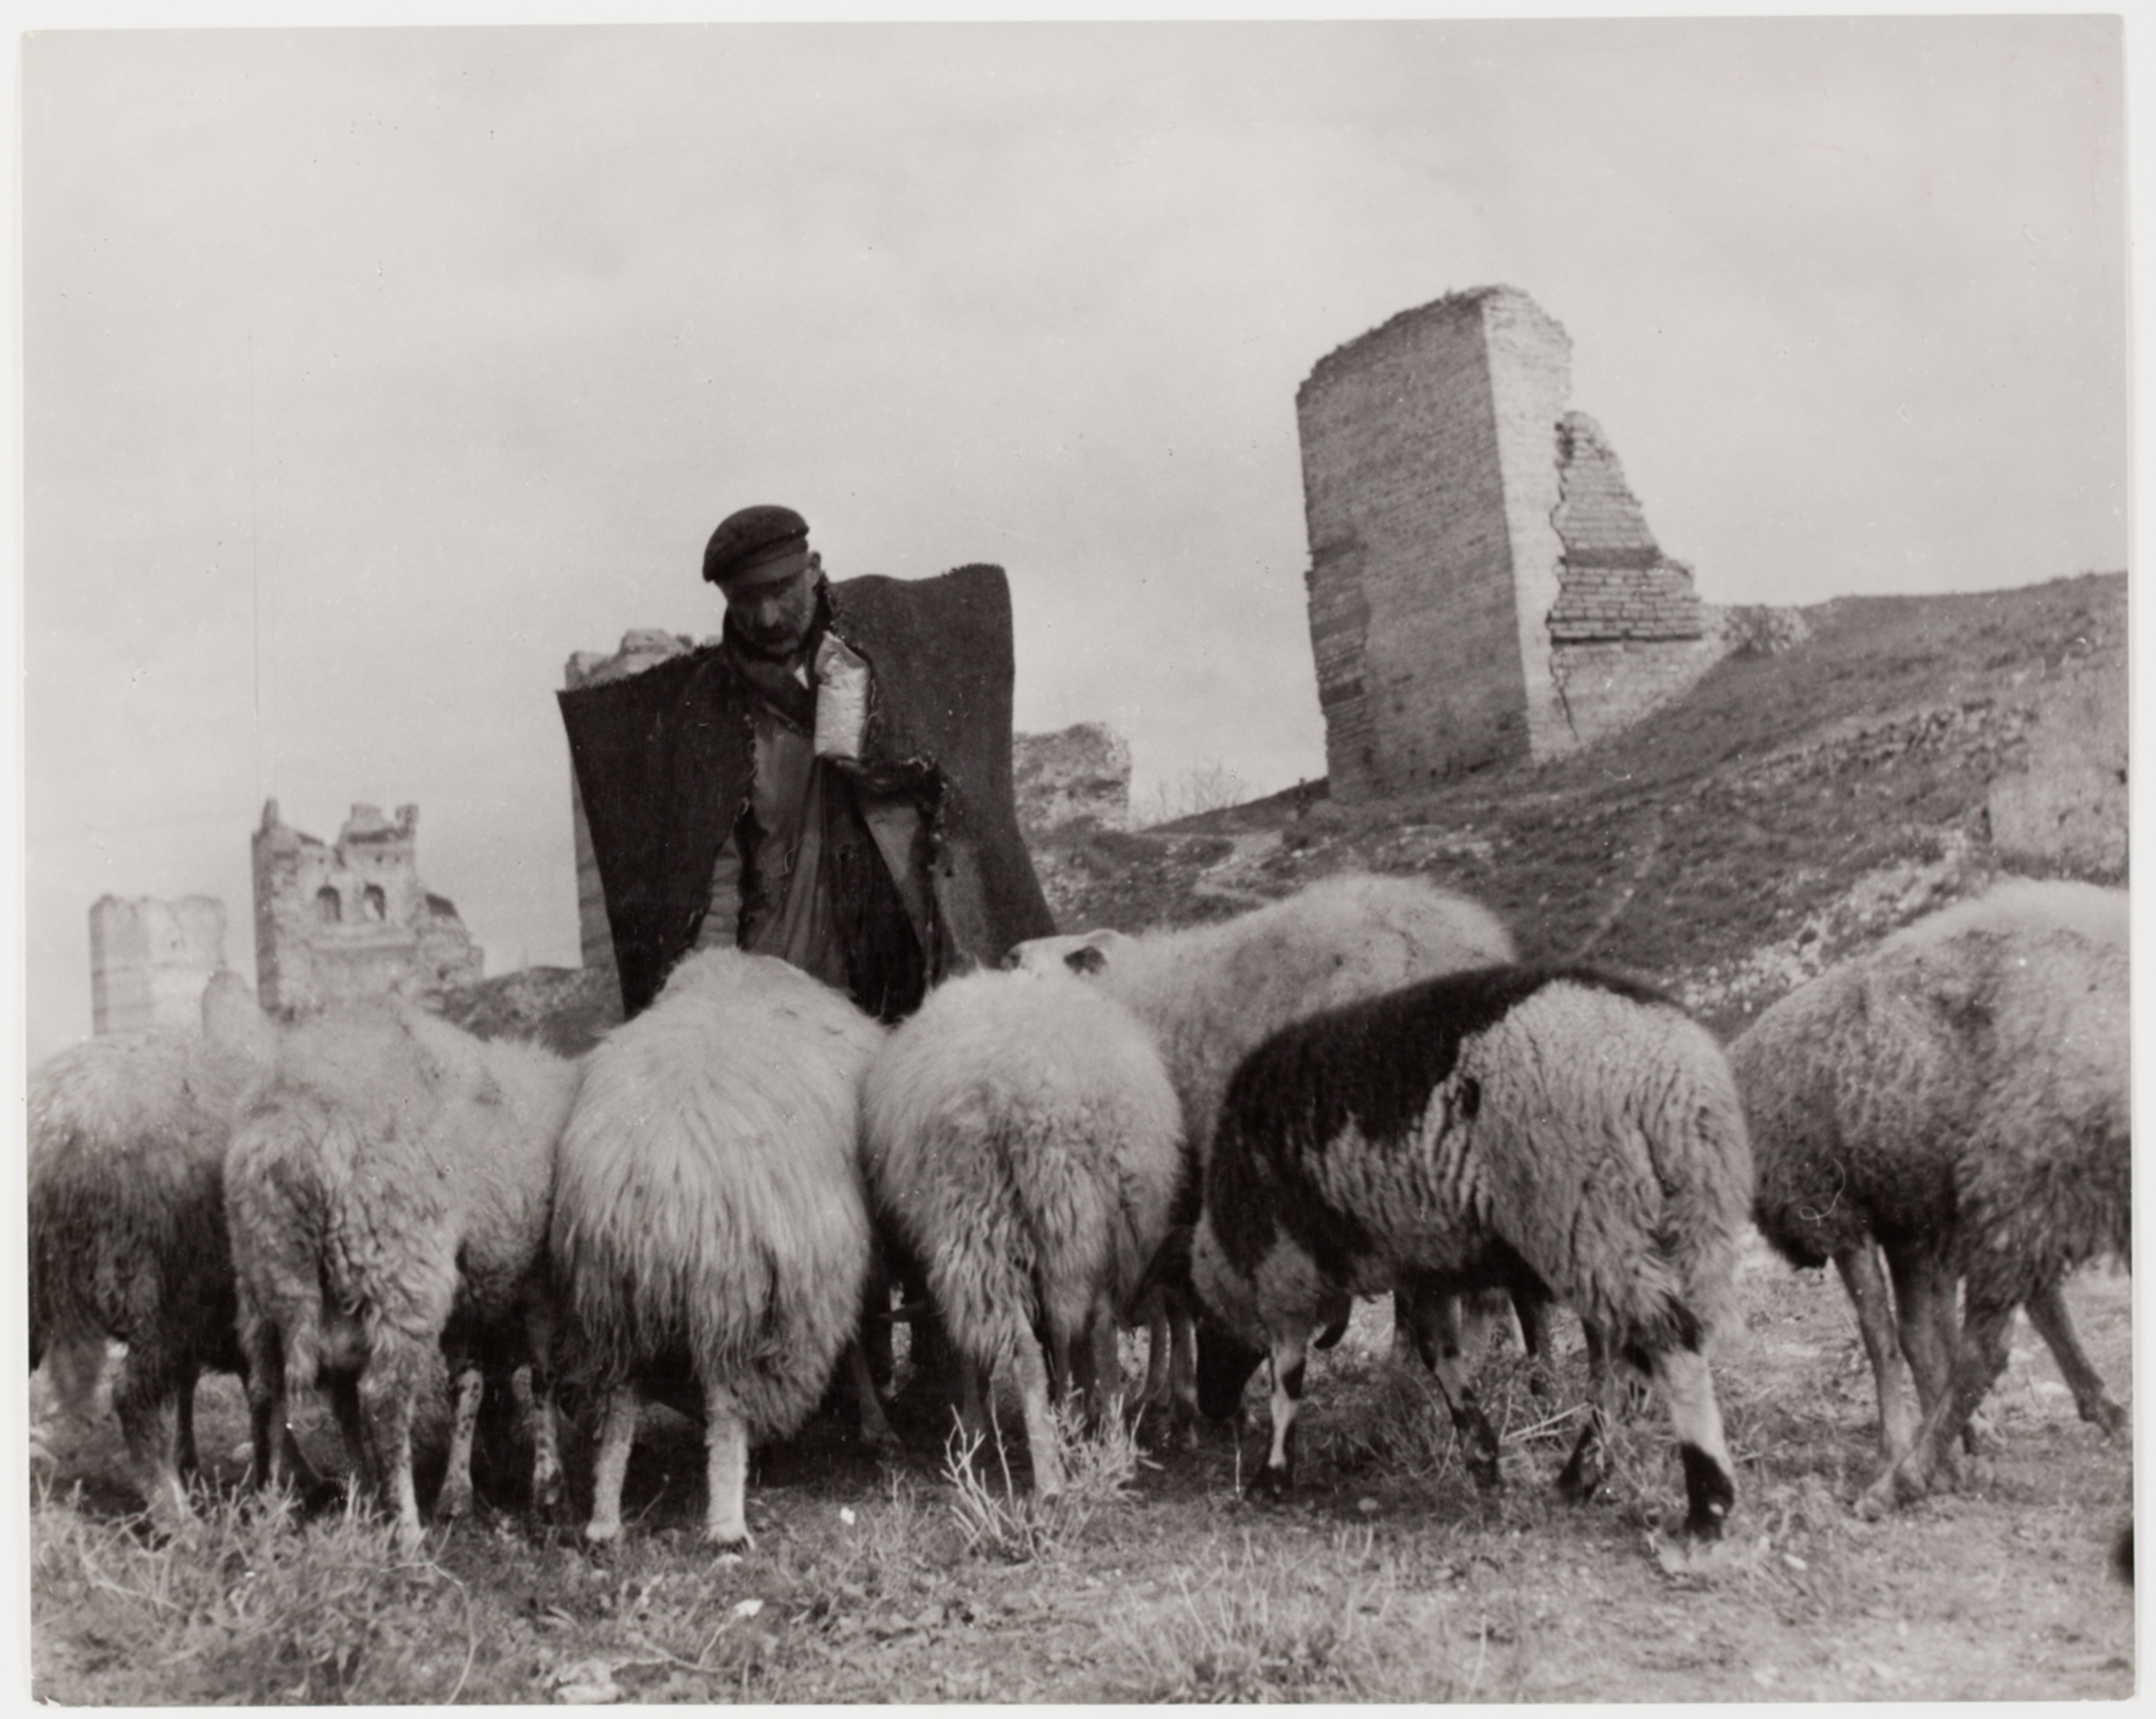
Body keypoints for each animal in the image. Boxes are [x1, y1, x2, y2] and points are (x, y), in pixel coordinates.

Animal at [224, 998, 581, 1550]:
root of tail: (290, 1140)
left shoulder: (468, 1297)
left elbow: (469, 1385)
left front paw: (460, 1489)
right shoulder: (540, 1283)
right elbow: (542, 1375)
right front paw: (548, 1488)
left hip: (262, 1275)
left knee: (267, 1389)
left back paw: (270, 1506)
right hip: (399, 1264)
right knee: (384, 1398)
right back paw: (407, 1529)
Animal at [550, 947, 887, 1549]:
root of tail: (664, 1185)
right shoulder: (820, 1272)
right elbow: (856, 1346)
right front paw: (873, 1423)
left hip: (609, 1304)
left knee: (617, 1410)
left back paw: (604, 1522)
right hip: (732, 1295)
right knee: (728, 1407)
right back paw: (729, 1523)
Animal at [859, 966, 1183, 1495]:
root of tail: (1058, 1109)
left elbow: (970, 1350)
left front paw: (973, 1428)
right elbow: (1062, 1338)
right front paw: (1072, 1415)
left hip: (984, 1220)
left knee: (1026, 1350)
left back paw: (1049, 1479)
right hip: (1099, 1226)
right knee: (1098, 1329)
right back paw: (1114, 1450)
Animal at [1162, 963, 1754, 1540]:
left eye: (1205, 1321)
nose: (1212, 1406)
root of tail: (1678, 1075)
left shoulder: (1285, 1274)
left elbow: (1287, 1380)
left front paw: (1273, 1476)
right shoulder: (1424, 1267)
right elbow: (1439, 1354)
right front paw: (1482, 1457)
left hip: (1592, 1222)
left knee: (1668, 1349)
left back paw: (1706, 1508)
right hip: (1655, 1234)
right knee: (1622, 1367)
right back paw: (1577, 1479)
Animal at [1730, 878, 2130, 1516]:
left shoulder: (1854, 1212)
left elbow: (1895, 1333)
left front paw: (1911, 1452)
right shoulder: (1907, 1217)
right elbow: (1913, 1333)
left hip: (1981, 1192)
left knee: (1975, 1341)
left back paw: (1915, 1470)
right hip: (1972, 1200)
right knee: (1984, 1323)